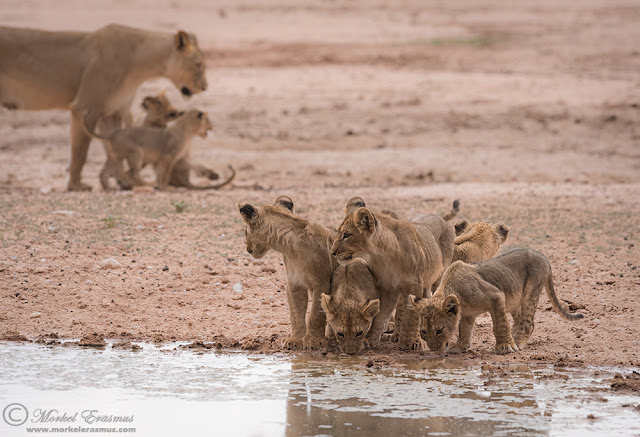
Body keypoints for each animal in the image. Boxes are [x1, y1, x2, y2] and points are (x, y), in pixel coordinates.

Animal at [0, 24, 207, 191]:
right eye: (199, 65)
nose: (205, 87)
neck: (139, 66)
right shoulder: (85, 108)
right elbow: (80, 153)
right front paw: (76, 186)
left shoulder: (112, 114)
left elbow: (114, 152)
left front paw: (124, 183)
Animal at [237, 196, 337, 350]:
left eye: (245, 231)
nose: (247, 249)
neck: (290, 247)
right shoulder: (294, 285)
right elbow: (296, 315)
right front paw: (295, 340)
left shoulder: (322, 284)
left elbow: (316, 315)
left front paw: (314, 341)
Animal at [330, 197, 458, 351]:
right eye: (338, 232)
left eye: (347, 235)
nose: (332, 252)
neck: (383, 255)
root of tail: (439, 216)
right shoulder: (387, 287)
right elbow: (381, 315)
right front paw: (370, 339)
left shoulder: (414, 284)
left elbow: (411, 315)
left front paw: (411, 341)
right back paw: (397, 334)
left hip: (438, 277)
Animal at [409, 248, 584, 355]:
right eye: (423, 331)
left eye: (439, 330)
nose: (433, 349)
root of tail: (543, 256)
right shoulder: (467, 314)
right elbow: (464, 330)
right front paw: (460, 346)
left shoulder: (496, 296)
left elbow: (500, 324)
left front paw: (505, 346)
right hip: (513, 301)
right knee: (519, 319)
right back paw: (515, 335)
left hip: (530, 292)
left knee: (529, 323)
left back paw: (518, 342)